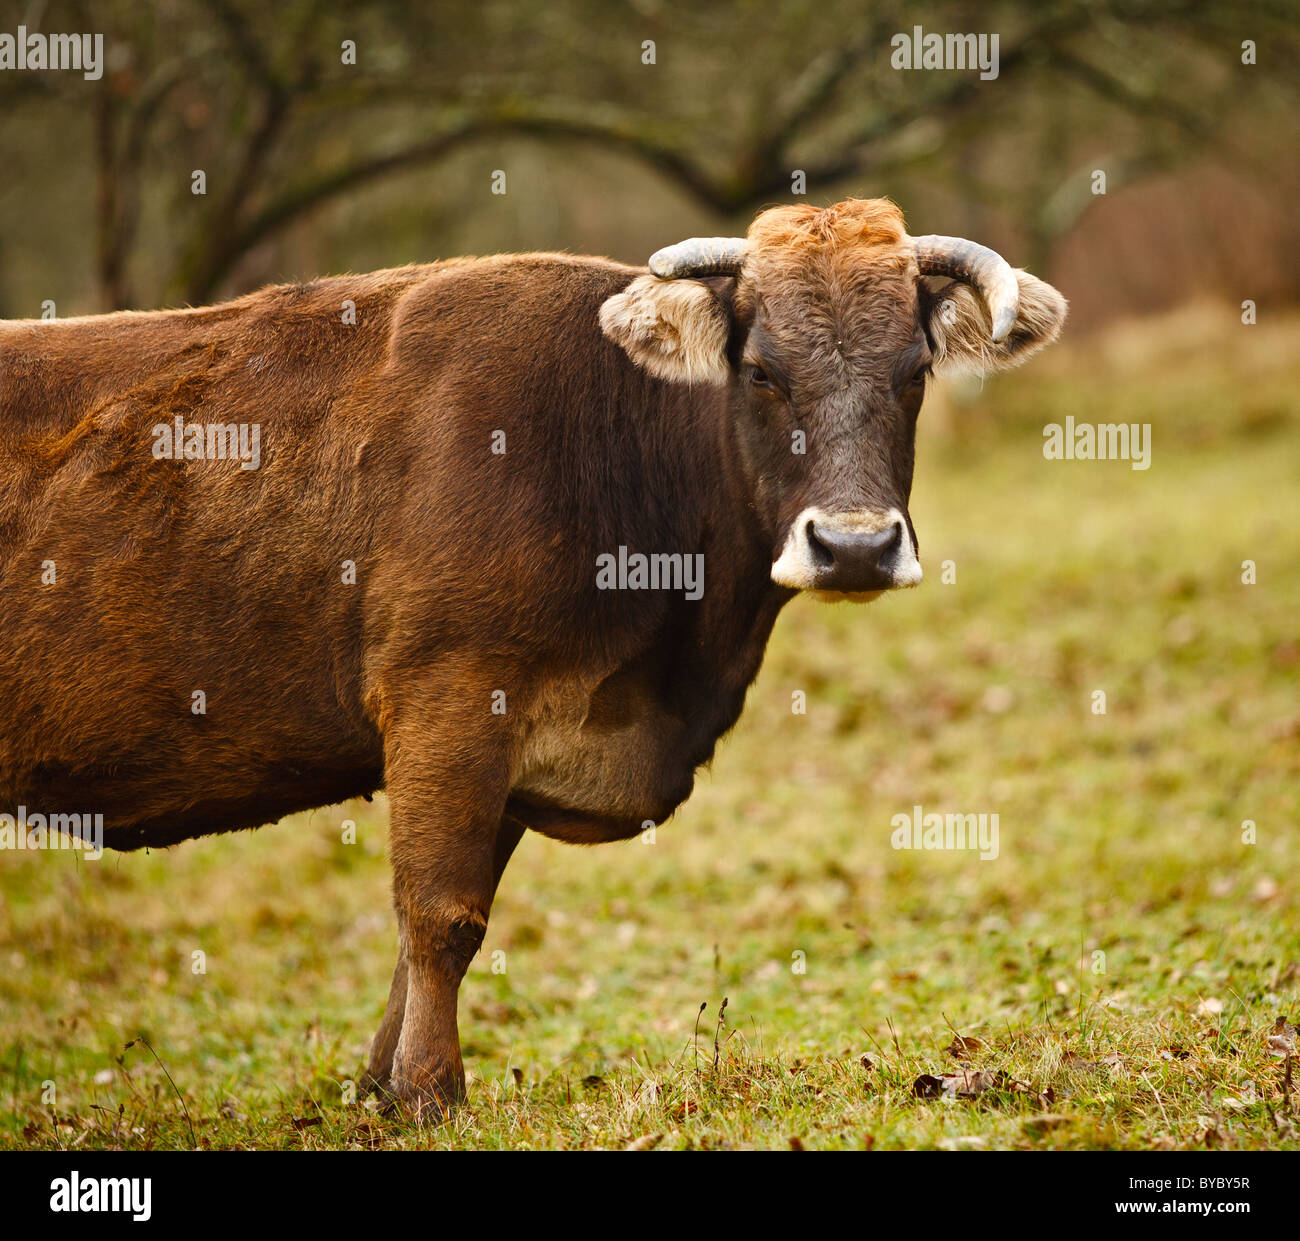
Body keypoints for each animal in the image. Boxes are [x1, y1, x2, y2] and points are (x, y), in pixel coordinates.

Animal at [0, 197, 1066, 1118]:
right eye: (762, 369)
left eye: (914, 368)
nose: (854, 546)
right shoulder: (451, 699)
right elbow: (441, 915)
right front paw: (432, 1092)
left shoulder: (517, 737)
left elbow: (433, 927)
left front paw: (381, 1088)